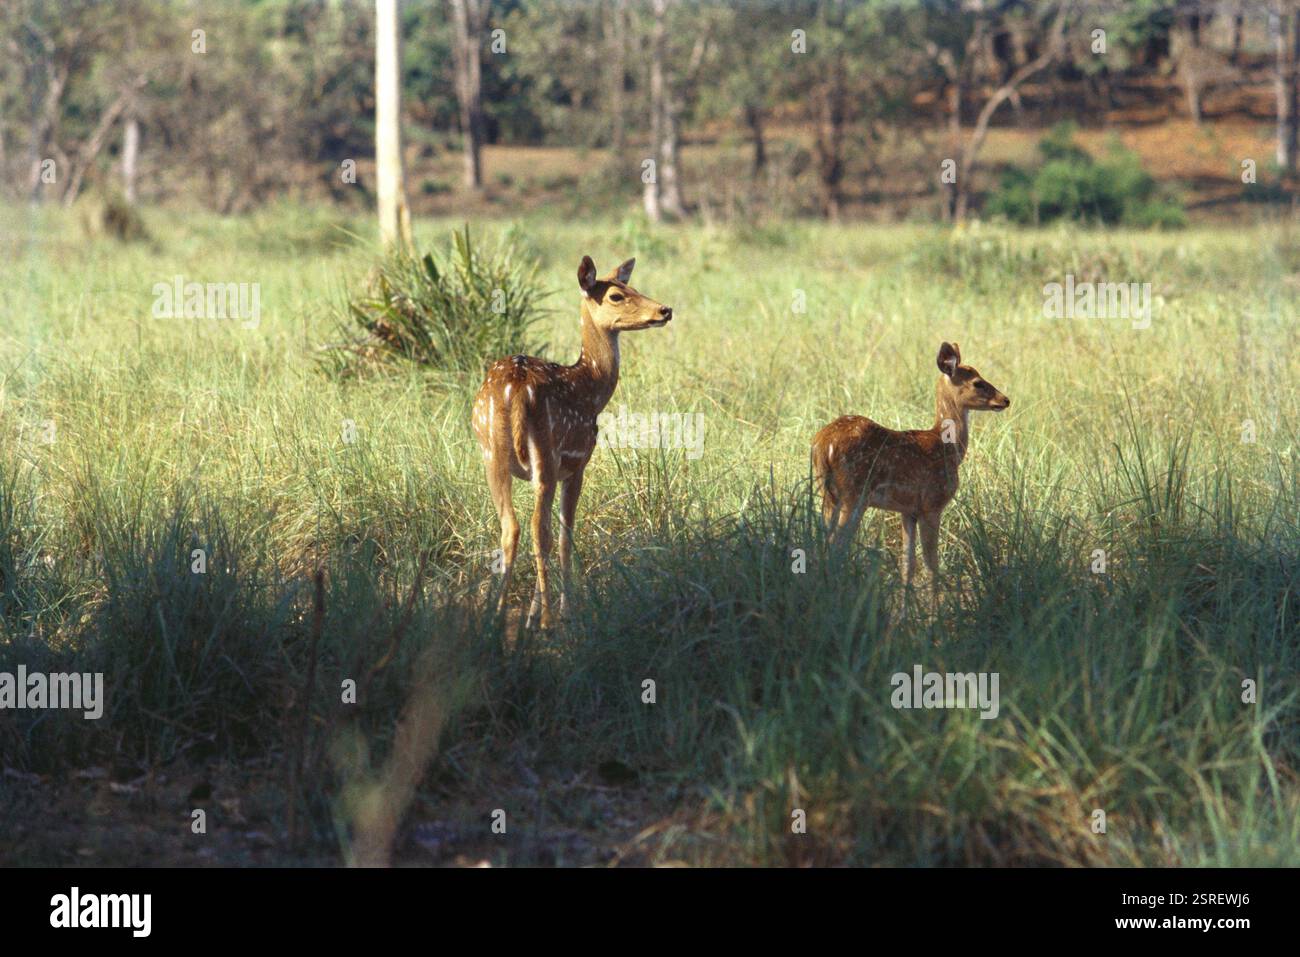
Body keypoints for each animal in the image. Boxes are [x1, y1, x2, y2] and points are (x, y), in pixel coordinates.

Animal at [471, 255, 673, 629]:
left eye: (633, 287)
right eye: (616, 296)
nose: (665, 310)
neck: (590, 389)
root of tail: (516, 387)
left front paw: (532, 610)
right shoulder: (578, 463)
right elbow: (566, 535)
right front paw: (563, 609)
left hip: (491, 452)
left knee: (511, 527)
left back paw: (498, 613)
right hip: (547, 452)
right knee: (540, 531)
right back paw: (549, 620)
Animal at [811, 342, 1009, 595]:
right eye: (977, 382)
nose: (1005, 400)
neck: (946, 447)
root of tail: (821, 444)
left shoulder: (908, 510)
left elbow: (908, 564)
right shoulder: (932, 504)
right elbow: (931, 563)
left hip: (828, 495)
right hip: (853, 495)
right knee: (836, 546)